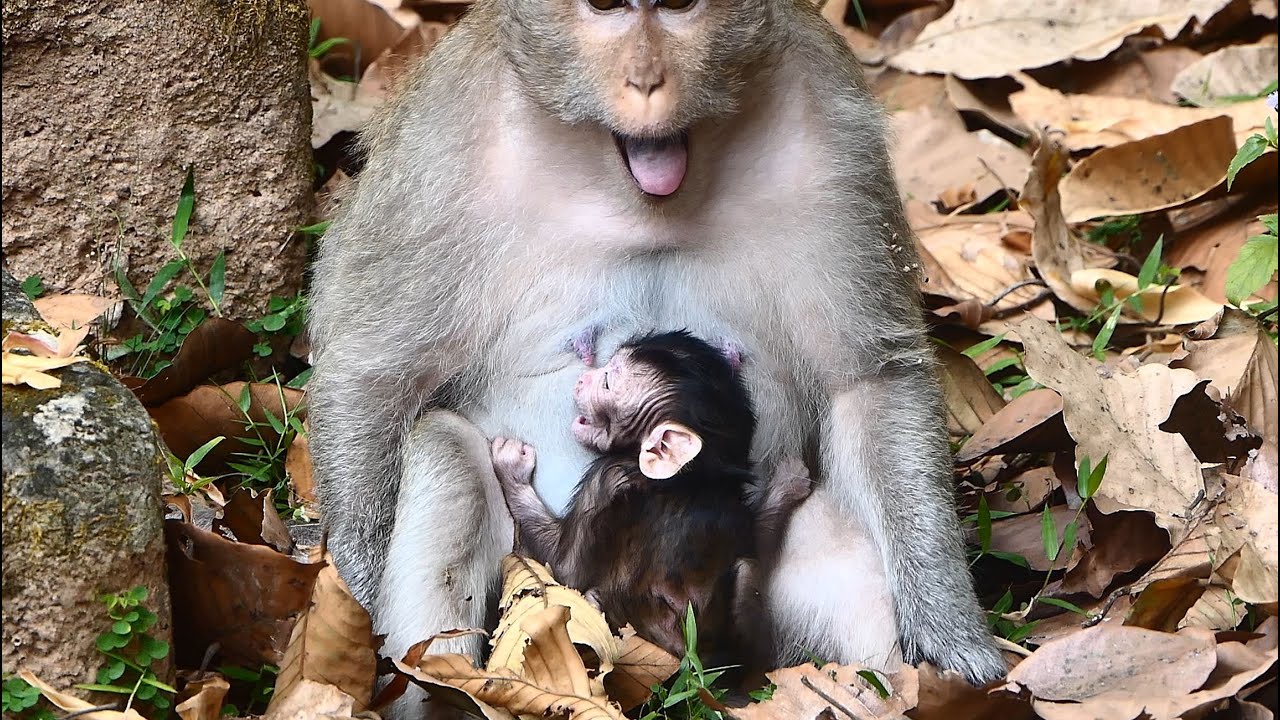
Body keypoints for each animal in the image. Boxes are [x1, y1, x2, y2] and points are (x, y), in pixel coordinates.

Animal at [490, 330, 813, 669]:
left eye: (608, 381)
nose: (583, 379)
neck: (692, 475)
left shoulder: (607, 477)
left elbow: (566, 571)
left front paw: (512, 469)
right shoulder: (733, 510)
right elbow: (755, 539)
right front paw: (788, 485)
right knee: (748, 571)